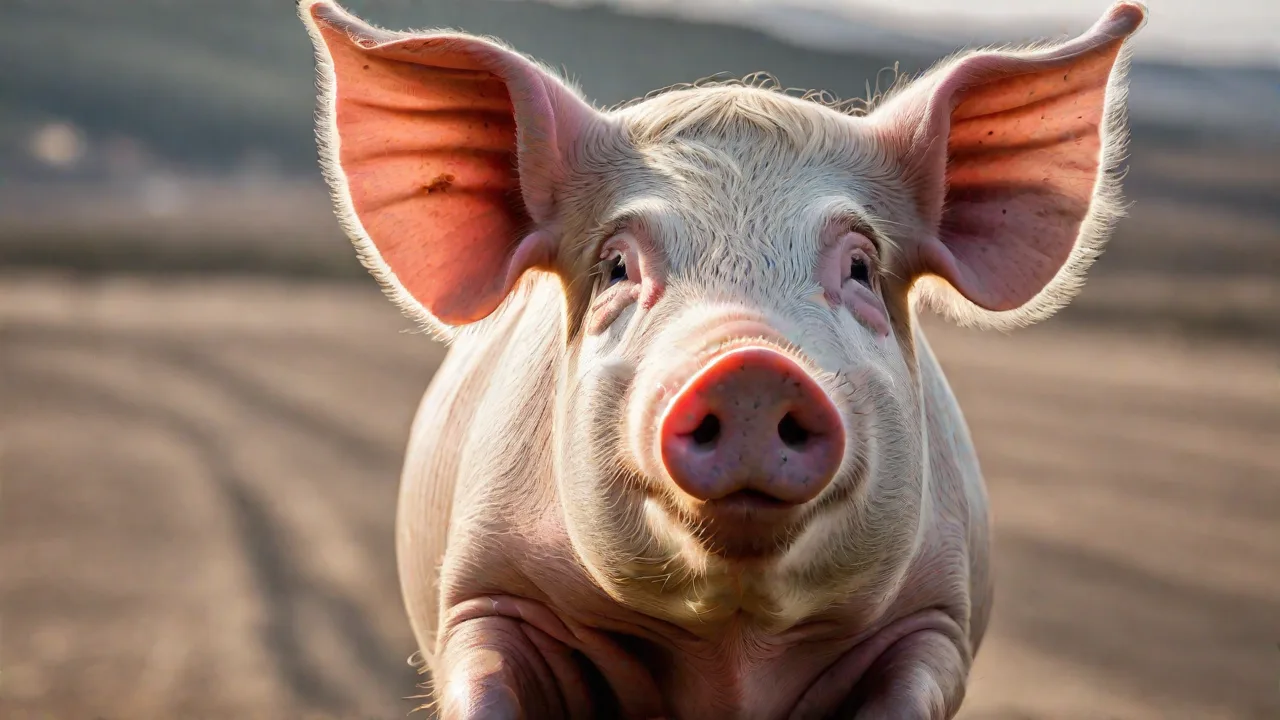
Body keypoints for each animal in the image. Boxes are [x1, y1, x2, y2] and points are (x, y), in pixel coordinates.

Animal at [297, 1, 1147, 717]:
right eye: (616, 266)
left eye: (861, 266)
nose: (751, 369)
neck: (733, 644)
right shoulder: (483, 593)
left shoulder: (936, 618)